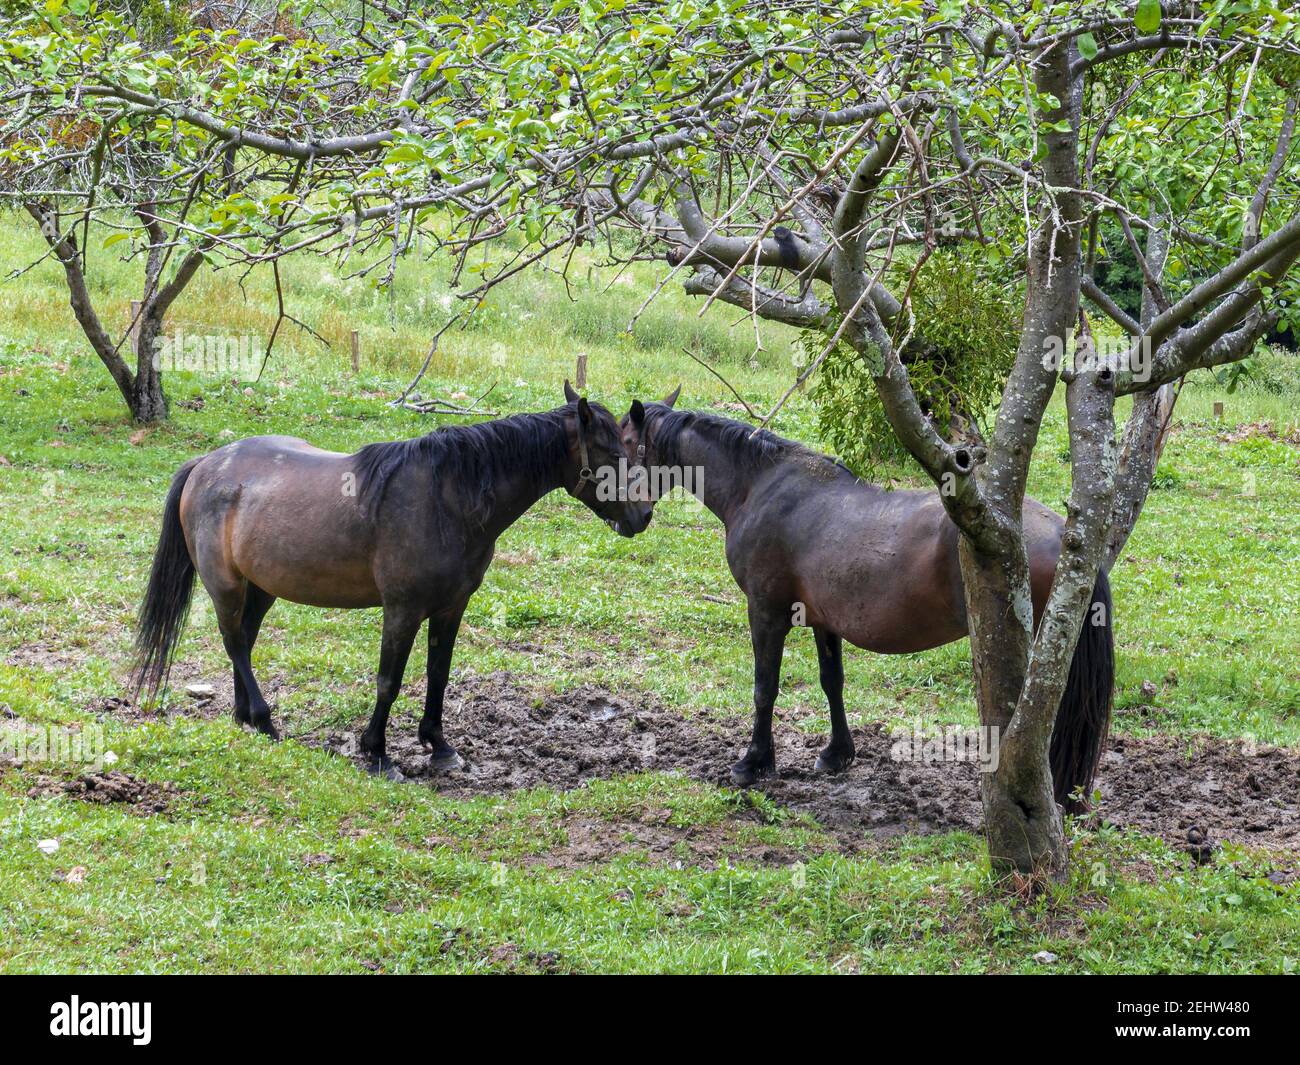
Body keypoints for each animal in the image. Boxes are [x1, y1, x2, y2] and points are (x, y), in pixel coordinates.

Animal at [133, 383, 653, 778]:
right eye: (611, 452)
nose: (643, 515)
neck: (446, 498)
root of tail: (205, 464)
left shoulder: (451, 607)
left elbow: (438, 675)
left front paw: (440, 747)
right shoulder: (402, 610)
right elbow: (390, 680)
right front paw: (377, 753)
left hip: (261, 587)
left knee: (245, 639)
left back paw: (247, 719)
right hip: (225, 586)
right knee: (235, 641)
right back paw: (263, 719)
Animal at [620, 392, 1112, 813]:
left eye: (624, 442)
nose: (631, 519)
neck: (760, 488)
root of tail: (1063, 533)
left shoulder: (766, 612)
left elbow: (765, 688)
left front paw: (753, 763)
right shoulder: (822, 620)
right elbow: (831, 682)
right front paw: (838, 754)